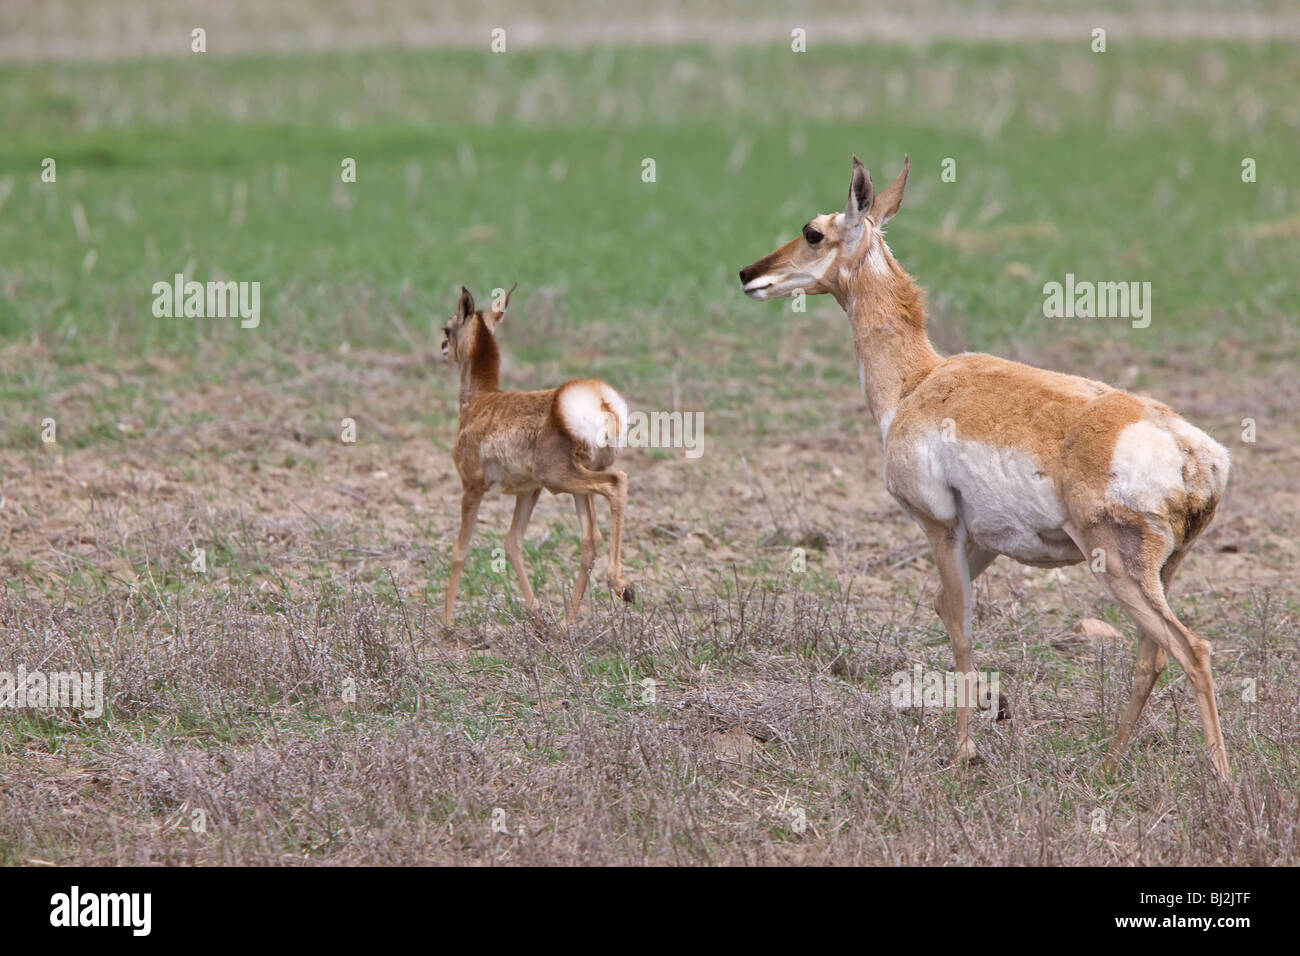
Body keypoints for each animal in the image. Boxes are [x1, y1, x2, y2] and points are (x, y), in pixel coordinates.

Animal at [440, 285, 634, 627]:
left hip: (562, 478)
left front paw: (447, 623)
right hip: (576, 485)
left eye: (448, 328)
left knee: (616, 482)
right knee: (591, 537)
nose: (442, 347)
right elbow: (512, 543)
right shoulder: (528, 491)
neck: (480, 401)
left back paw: (621, 586)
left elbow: (460, 551)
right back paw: (568, 622)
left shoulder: (472, 487)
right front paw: (536, 612)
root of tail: (600, 398)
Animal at [738, 156, 1232, 779]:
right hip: (1162, 573)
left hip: (1120, 570)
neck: (918, 382)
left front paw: (963, 752)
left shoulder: (940, 528)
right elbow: (945, 611)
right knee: (1153, 658)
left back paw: (1220, 781)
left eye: (812, 232)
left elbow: (961, 630)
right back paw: (1106, 767)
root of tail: (1199, 455)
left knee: (1191, 649)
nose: (747, 273)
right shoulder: (983, 545)